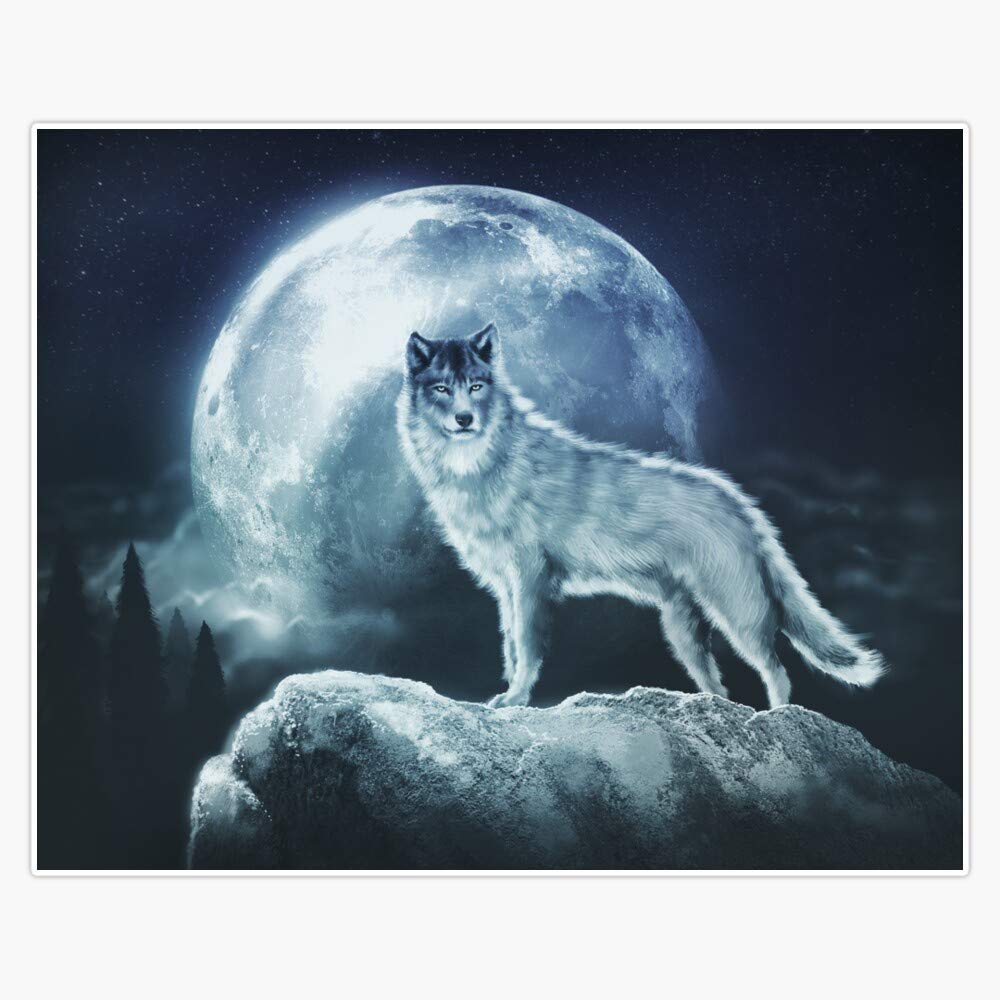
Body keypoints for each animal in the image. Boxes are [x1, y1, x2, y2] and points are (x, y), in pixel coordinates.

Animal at [397, 323, 886, 709]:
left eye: (476, 386)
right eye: (442, 388)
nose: (464, 419)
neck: (482, 466)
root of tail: (741, 503)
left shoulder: (532, 583)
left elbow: (528, 648)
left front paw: (516, 699)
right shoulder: (504, 589)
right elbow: (510, 647)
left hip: (738, 617)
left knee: (778, 670)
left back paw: (775, 719)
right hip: (683, 632)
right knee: (721, 688)